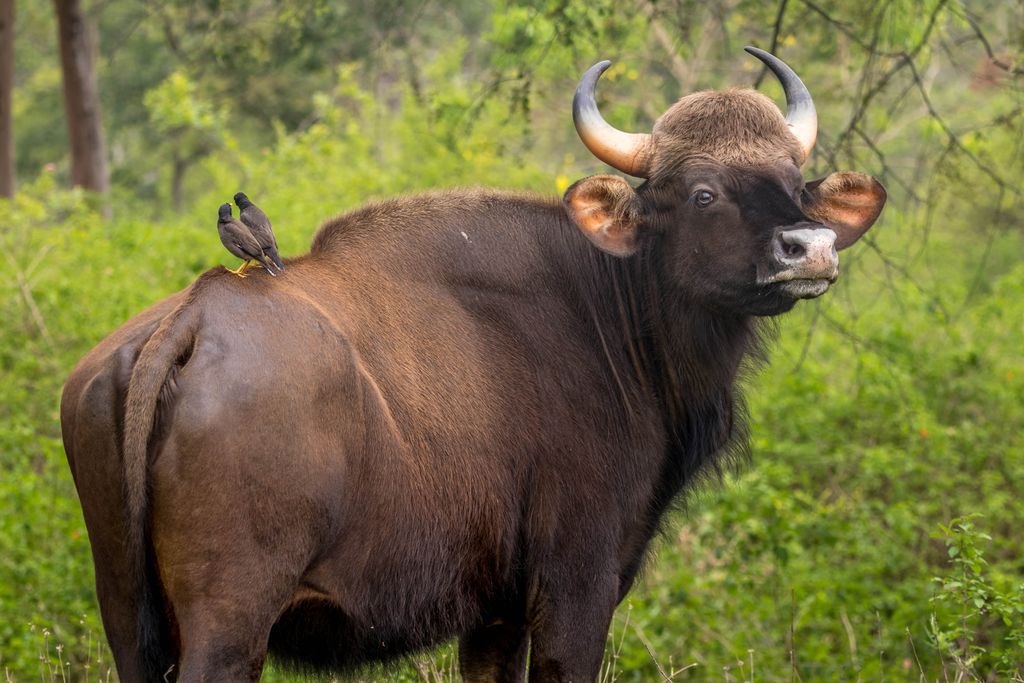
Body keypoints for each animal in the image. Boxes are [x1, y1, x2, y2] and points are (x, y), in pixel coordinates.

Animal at [60, 47, 886, 682]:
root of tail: (193, 315)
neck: (608, 313)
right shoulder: (575, 588)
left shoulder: (493, 616)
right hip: (229, 624)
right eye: (703, 191)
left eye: (795, 181)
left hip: (126, 617)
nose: (809, 247)